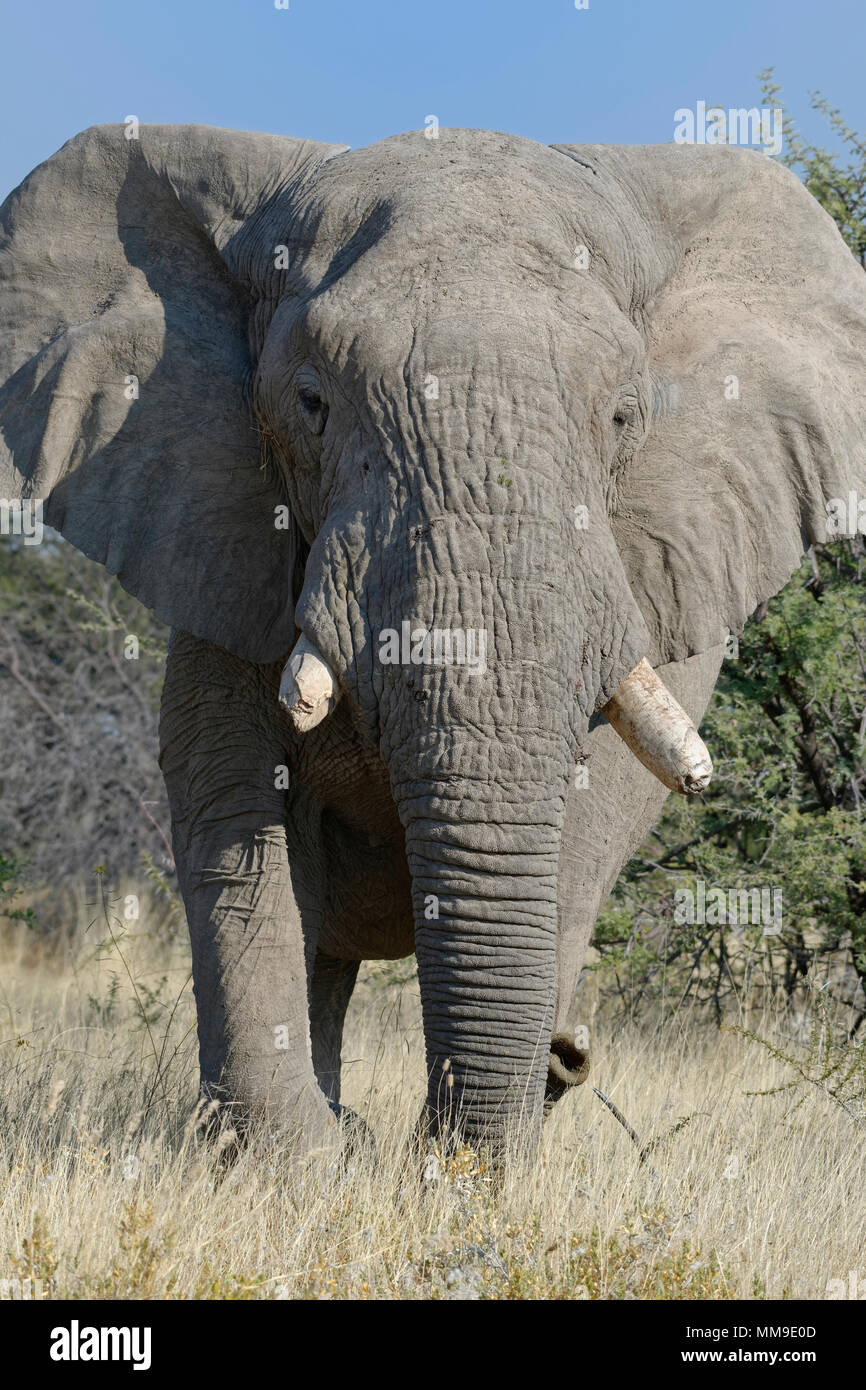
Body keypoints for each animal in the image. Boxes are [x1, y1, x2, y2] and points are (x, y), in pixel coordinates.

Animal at [1, 123, 864, 1159]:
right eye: (310, 402)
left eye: (624, 417)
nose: (571, 1053)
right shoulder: (220, 537)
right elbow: (236, 813)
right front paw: (297, 1161)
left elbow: (583, 816)